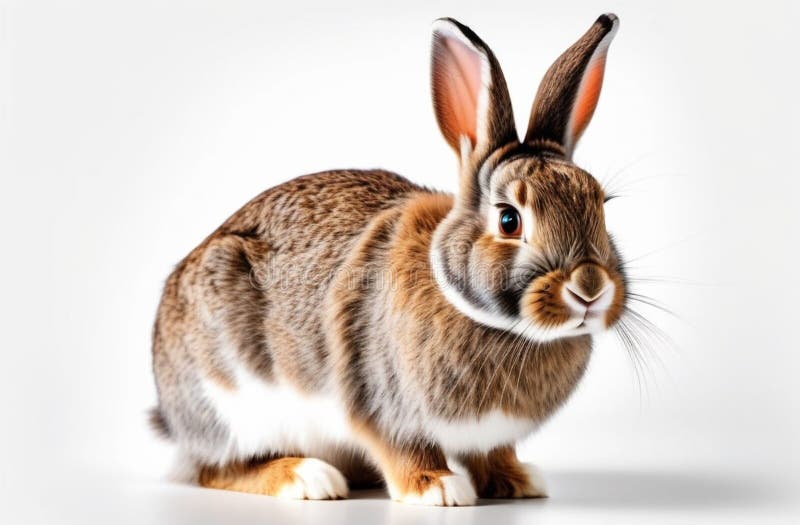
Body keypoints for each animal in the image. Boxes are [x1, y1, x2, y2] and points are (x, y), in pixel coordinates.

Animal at [150, 13, 625, 506]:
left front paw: (518, 480)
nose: (589, 289)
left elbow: (492, 454)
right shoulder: (382, 405)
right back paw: (307, 477)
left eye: (602, 206)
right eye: (509, 220)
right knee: (218, 468)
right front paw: (436, 488)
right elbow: (405, 451)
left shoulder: (488, 435)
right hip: (230, 402)